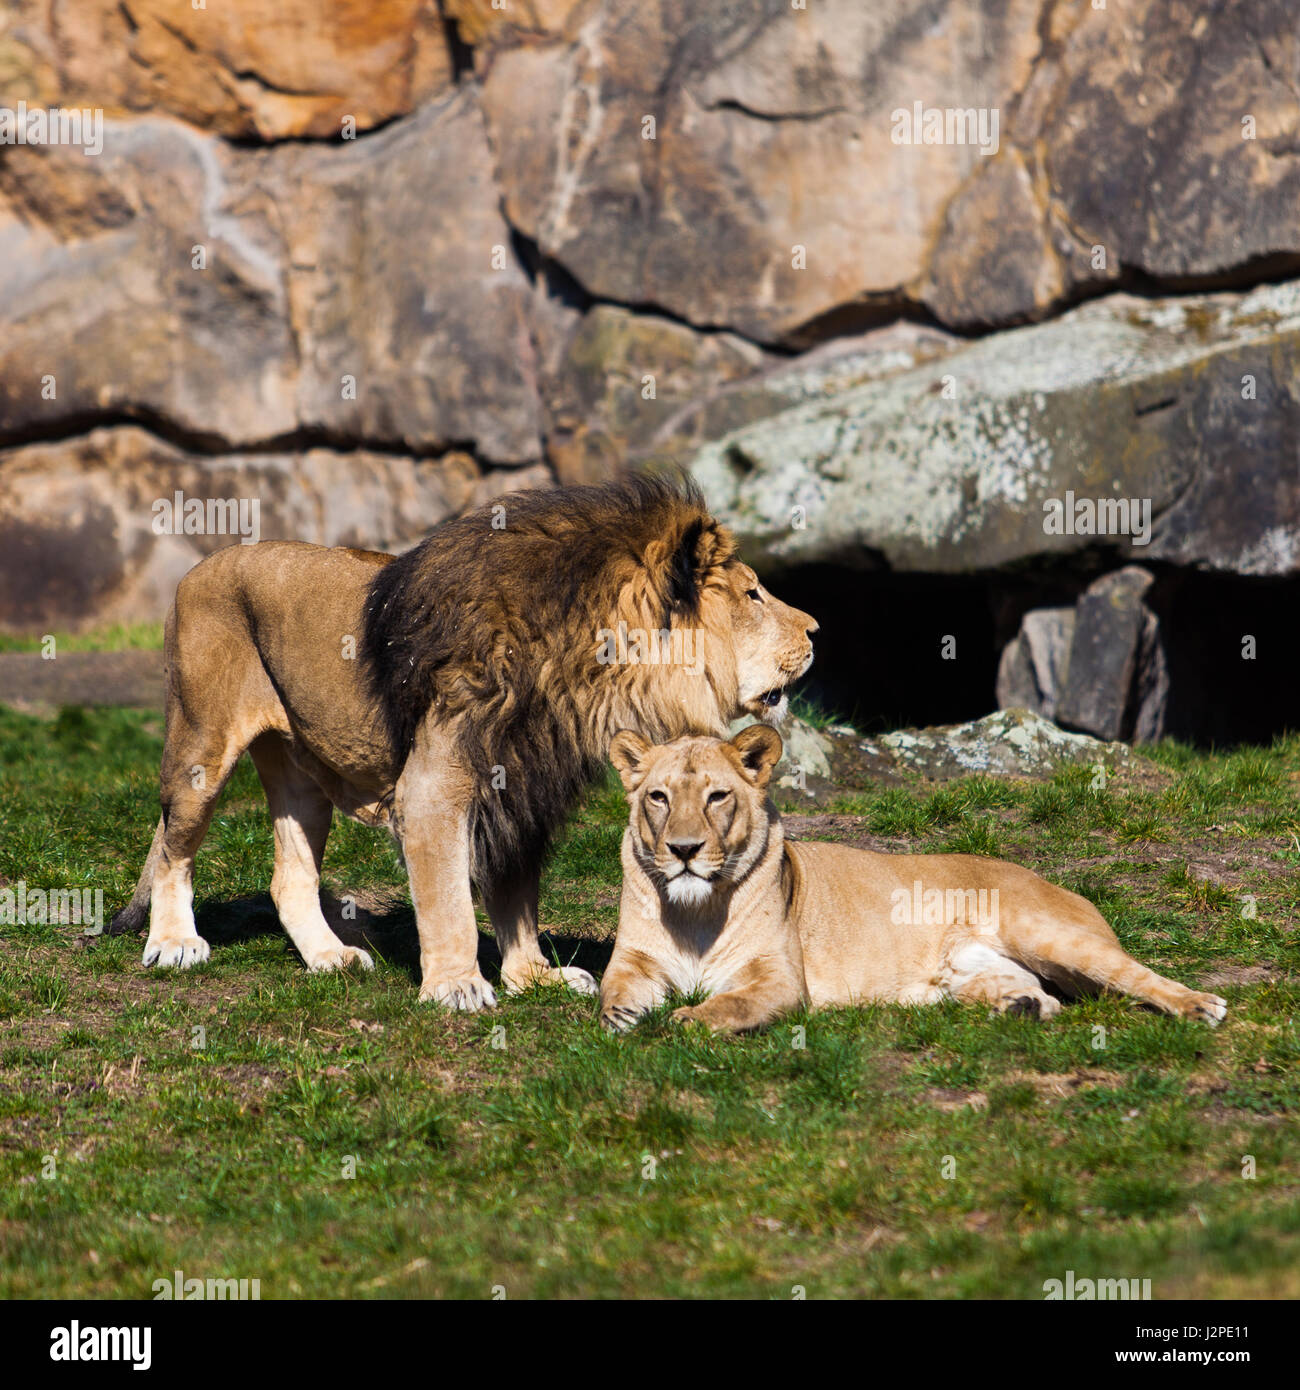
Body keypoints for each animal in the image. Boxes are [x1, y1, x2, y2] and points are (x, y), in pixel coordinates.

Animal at [109, 477, 817, 1011]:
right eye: (753, 594)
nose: (816, 629)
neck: (582, 669)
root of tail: (201, 566)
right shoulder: (433, 787)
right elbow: (448, 894)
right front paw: (457, 986)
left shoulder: (526, 786)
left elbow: (516, 891)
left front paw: (533, 976)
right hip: (200, 749)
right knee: (174, 848)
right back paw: (173, 944)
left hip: (301, 771)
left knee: (289, 876)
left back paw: (331, 956)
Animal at [599, 727, 1228, 1034]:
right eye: (658, 797)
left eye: (717, 797)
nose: (683, 851)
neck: (695, 911)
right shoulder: (633, 960)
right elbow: (613, 991)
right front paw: (622, 1018)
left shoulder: (781, 980)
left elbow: (731, 1004)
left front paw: (688, 1018)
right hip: (965, 974)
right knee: (1043, 996)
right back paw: (1020, 1009)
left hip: (1049, 934)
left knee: (1134, 974)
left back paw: (1201, 1007)